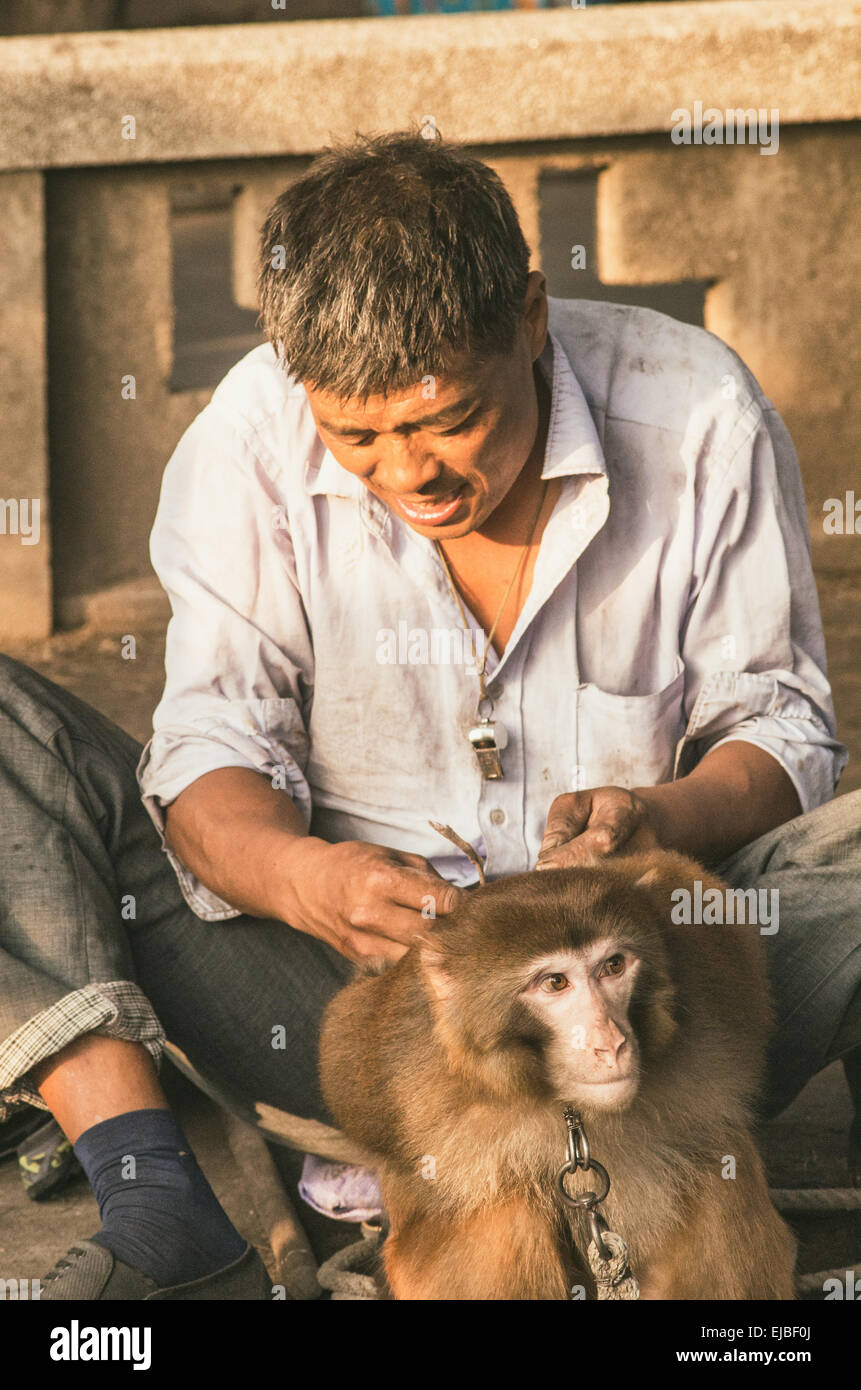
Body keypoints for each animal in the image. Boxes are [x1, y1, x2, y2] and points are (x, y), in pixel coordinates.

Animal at [319, 848, 796, 1300]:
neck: (569, 1113)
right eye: (555, 983)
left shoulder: (721, 964)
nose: (611, 1043)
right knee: (506, 1214)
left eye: (614, 965)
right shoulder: (387, 1060)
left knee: (718, 1167)